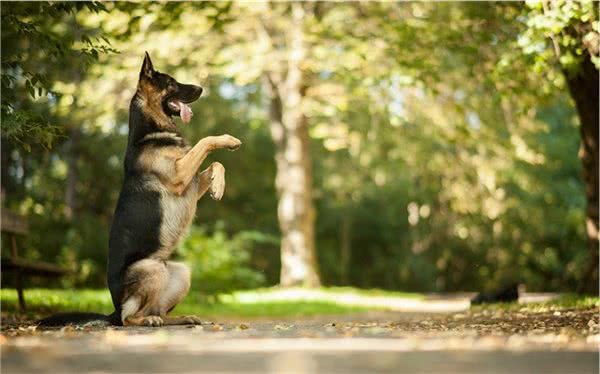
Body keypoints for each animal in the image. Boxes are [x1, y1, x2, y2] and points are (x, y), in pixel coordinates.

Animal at [38, 52, 241, 328]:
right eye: (171, 83)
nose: (201, 89)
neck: (152, 130)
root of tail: (113, 310)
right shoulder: (180, 177)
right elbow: (206, 141)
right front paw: (228, 140)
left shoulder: (189, 184)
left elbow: (216, 163)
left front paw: (219, 186)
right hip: (150, 269)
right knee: (130, 318)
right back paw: (146, 321)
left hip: (179, 272)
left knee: (158, 310)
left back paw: (180, 318)